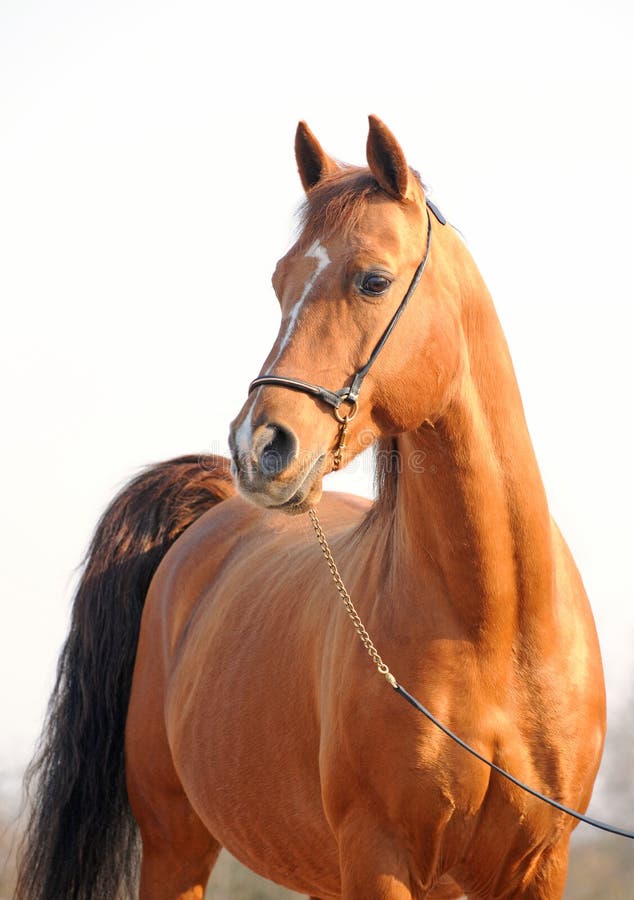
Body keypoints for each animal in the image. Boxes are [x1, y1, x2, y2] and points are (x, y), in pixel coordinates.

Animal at [17, 116, 606, 900]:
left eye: (373, 280)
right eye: (279, 281)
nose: (259, 445)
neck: (495, 626)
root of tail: (210, 511)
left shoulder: (538, 867)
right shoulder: (378, 858)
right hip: (175, 844)